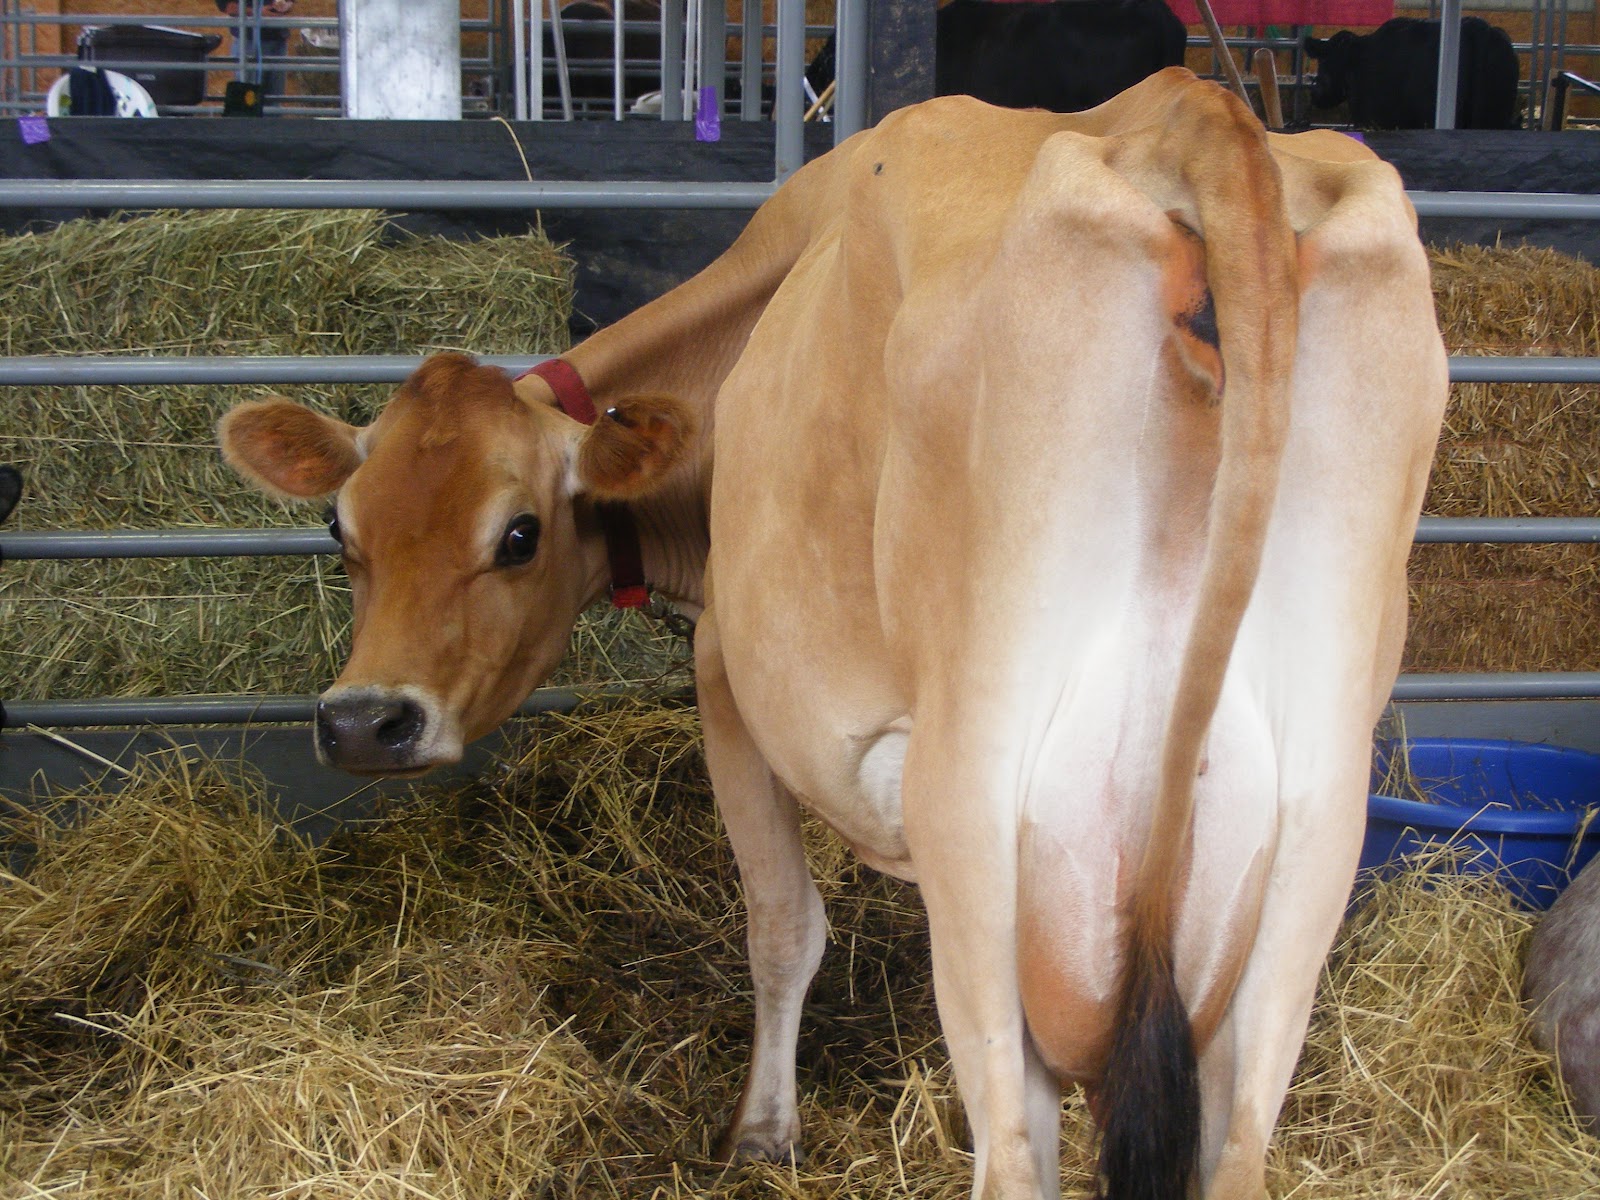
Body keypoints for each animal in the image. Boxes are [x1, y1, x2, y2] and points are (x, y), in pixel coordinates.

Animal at [219, 69, 1448, 1200]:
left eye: (518, 533)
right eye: (338, 529)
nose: (364, 723)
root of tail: (1192, 114)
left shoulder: (724, 668)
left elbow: (781, 929)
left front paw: (761, 1135)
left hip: (983, 817)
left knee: (1012, 1153)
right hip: (1309, 841)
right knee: (1235, 1146)